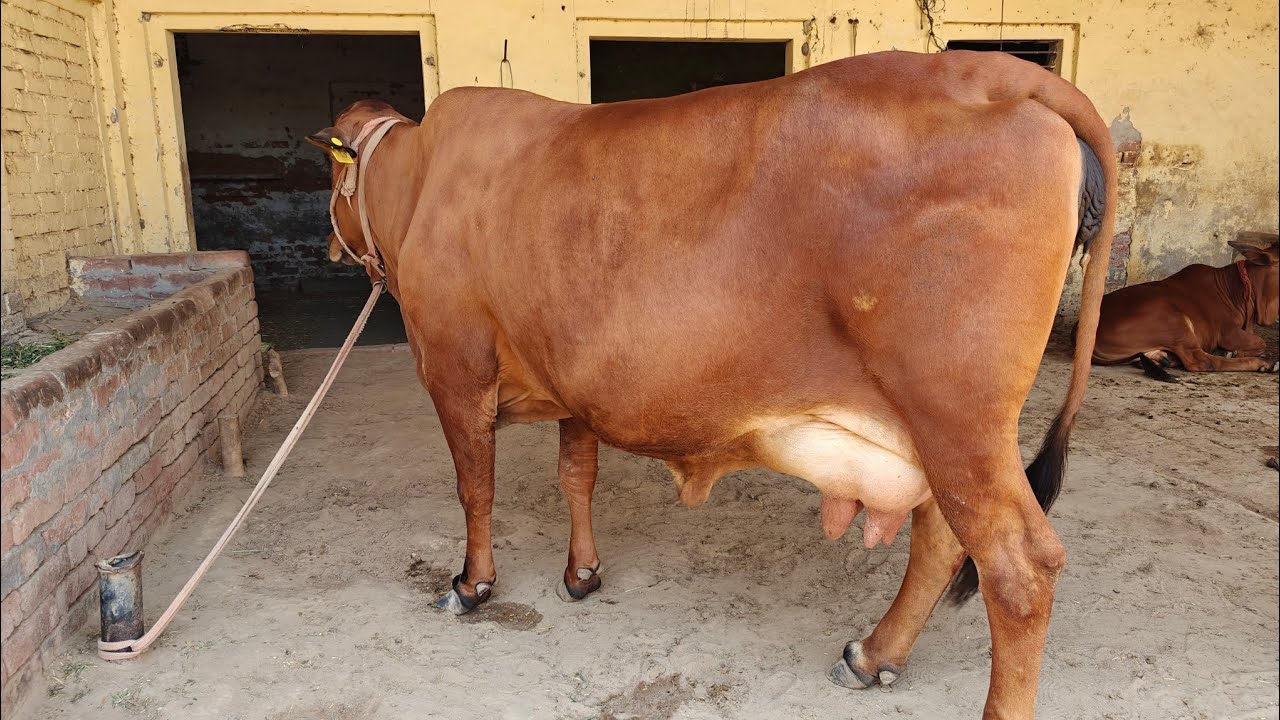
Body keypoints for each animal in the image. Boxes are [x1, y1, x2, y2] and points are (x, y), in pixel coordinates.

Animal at [307, 50, 1116, 719]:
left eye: (329, 180)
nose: (329, 248)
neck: (420, 179)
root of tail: (999, 70)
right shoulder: (576, 381)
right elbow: (576, 474)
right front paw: (582, 572)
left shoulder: (454, 367)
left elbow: (475, 487)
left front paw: (471, 585)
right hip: (942, 436)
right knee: (943, 539)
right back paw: (872, 655)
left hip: (957, 420)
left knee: (1018, 570)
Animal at [1092, 238, 1279, 380]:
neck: (1234, 289)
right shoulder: (1227, 332)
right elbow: (1260, 342)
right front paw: (1232, 352)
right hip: (1173, 321)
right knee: (1202, 361)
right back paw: (1265, 363)